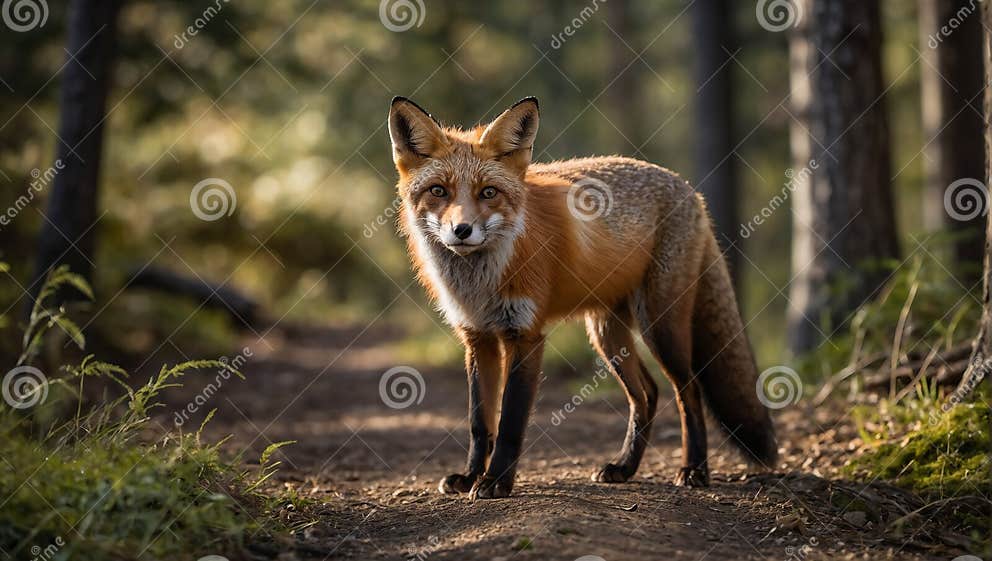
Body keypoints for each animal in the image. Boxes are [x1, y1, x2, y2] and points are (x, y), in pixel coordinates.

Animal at [388, 96, 778, 499]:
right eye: (438, 191)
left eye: (488, 192)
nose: (462, 230)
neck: (481, 279)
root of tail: (689, 189)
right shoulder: (477, 337)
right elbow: (480, 423)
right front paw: (470, 475)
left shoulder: (525, 335)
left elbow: (510, 422)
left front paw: (496, 481)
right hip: (607, 334)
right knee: (648, 393)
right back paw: (625, 467)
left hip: (660, 327)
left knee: (689, 391)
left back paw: (694, 469)